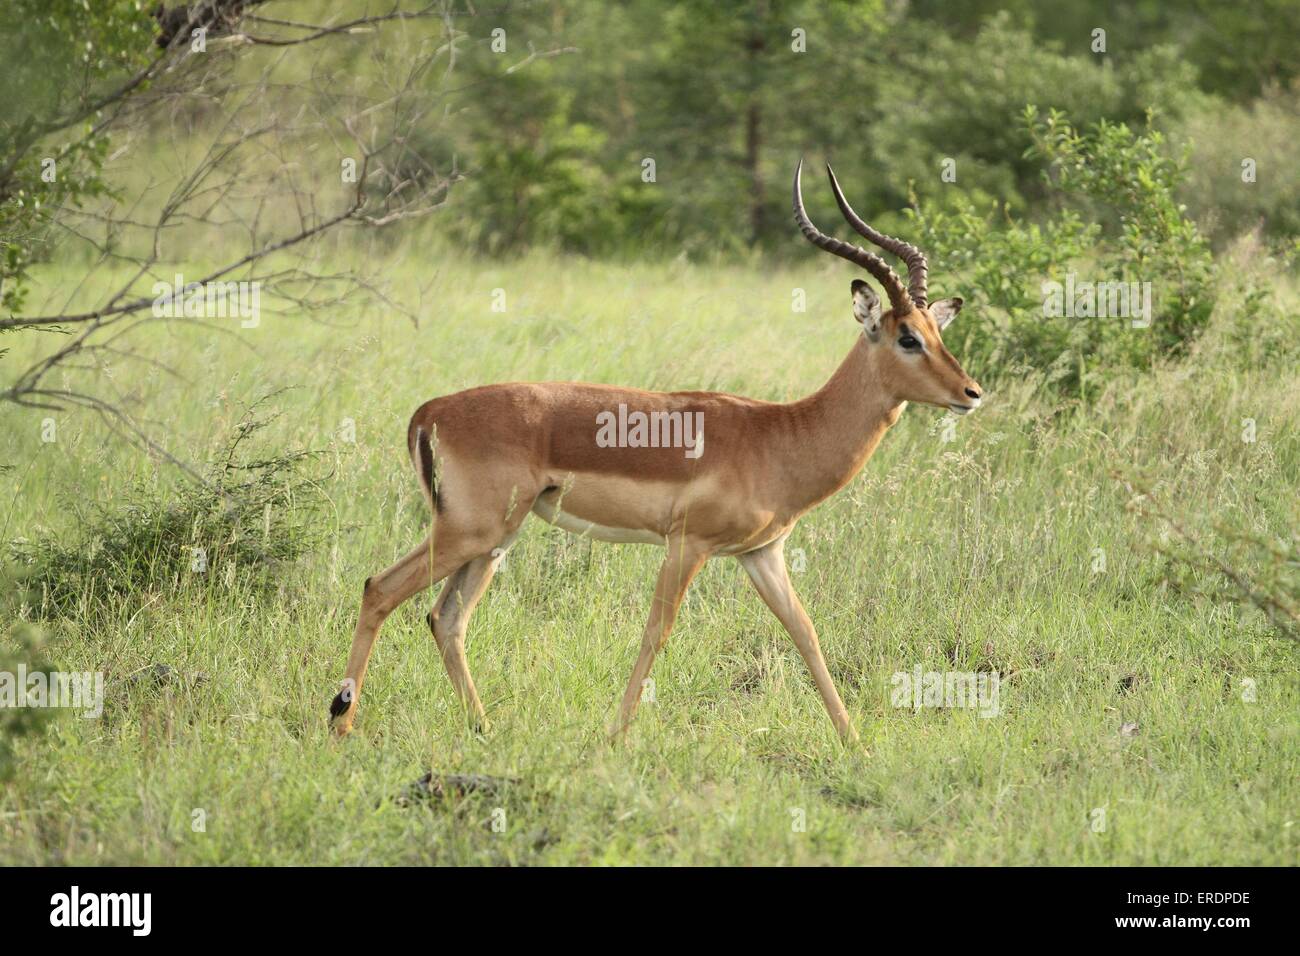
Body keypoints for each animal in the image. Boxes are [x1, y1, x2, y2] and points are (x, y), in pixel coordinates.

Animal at [329, 161, 983, 743]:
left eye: (937, 332)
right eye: (907, 337)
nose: (971, 393)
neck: (780, 434)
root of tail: (429, 410)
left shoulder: (762, 554)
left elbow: (806, 634)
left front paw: (854, 743)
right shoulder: (686, 544)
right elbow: (656, 632)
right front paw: (614, 736)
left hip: (493, 540)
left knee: (445, 618)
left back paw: (482, 727)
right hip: (470, 530)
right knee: (379, 588)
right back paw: (341, 722)